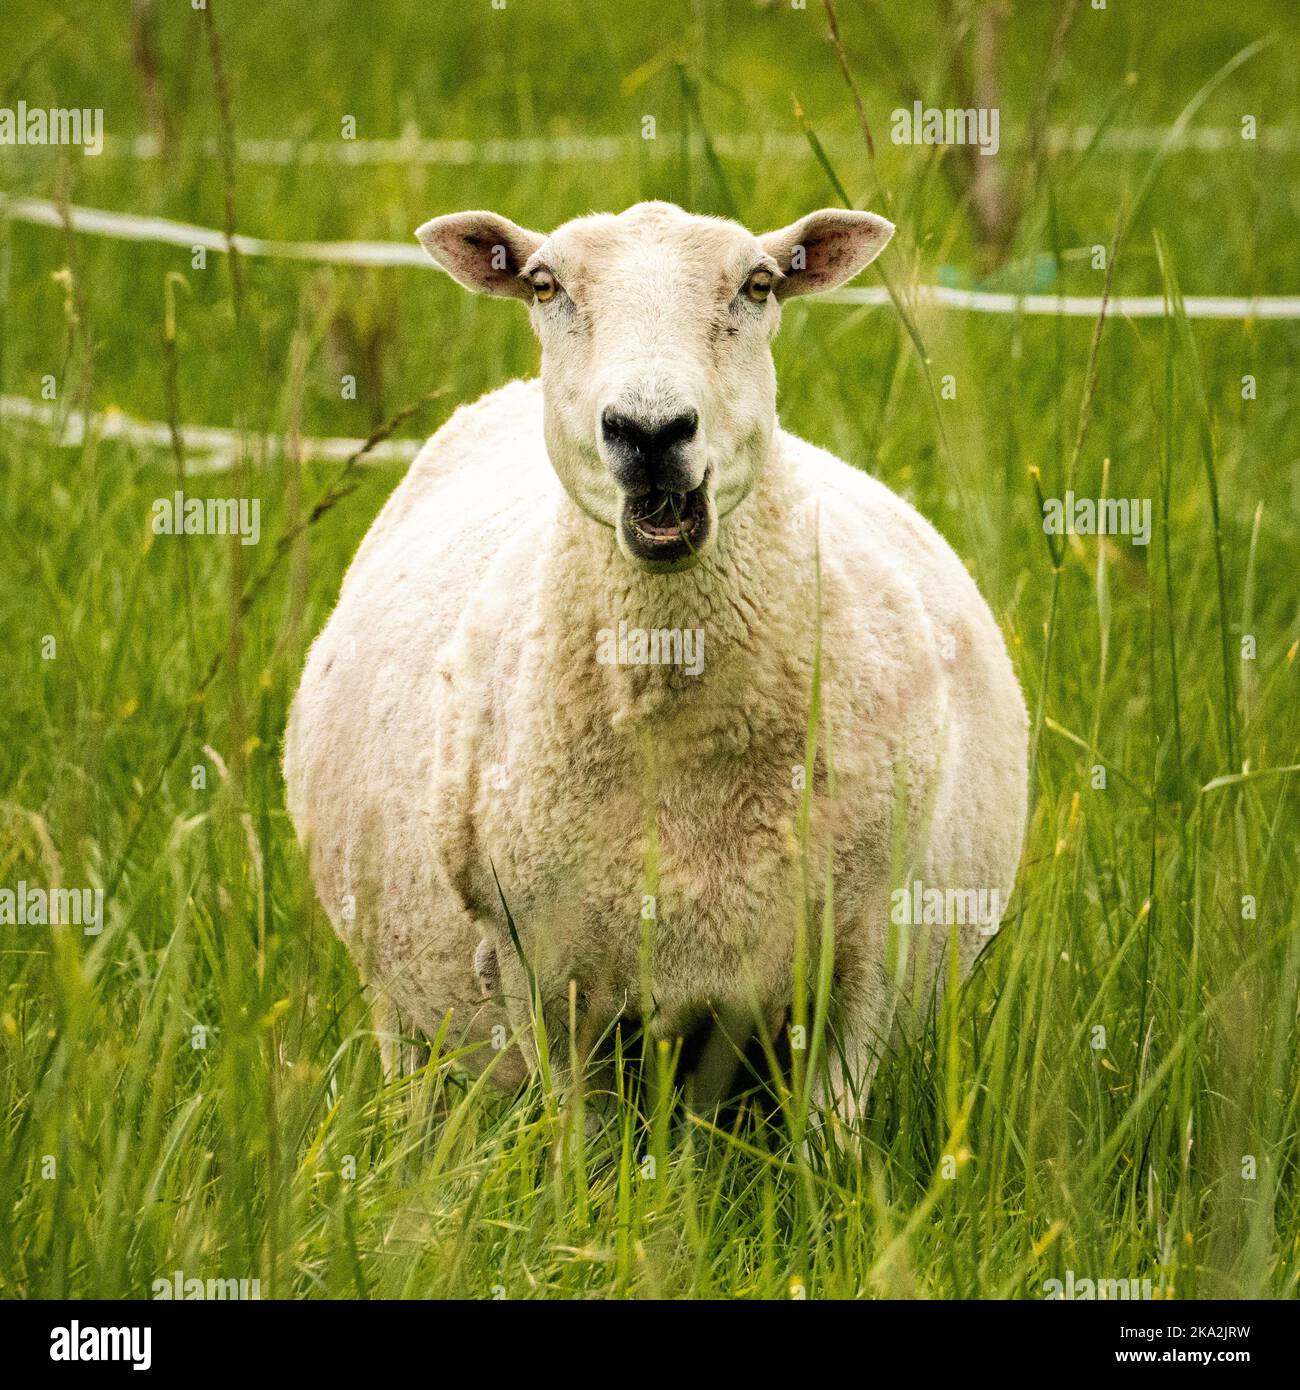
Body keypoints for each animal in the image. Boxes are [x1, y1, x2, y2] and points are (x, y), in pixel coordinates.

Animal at [283, 201, 1029, 1116]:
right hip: (400, 1008)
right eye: (545, 285)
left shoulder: (860, 972)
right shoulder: (550, 985)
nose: (648, 430)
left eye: (759, 284)